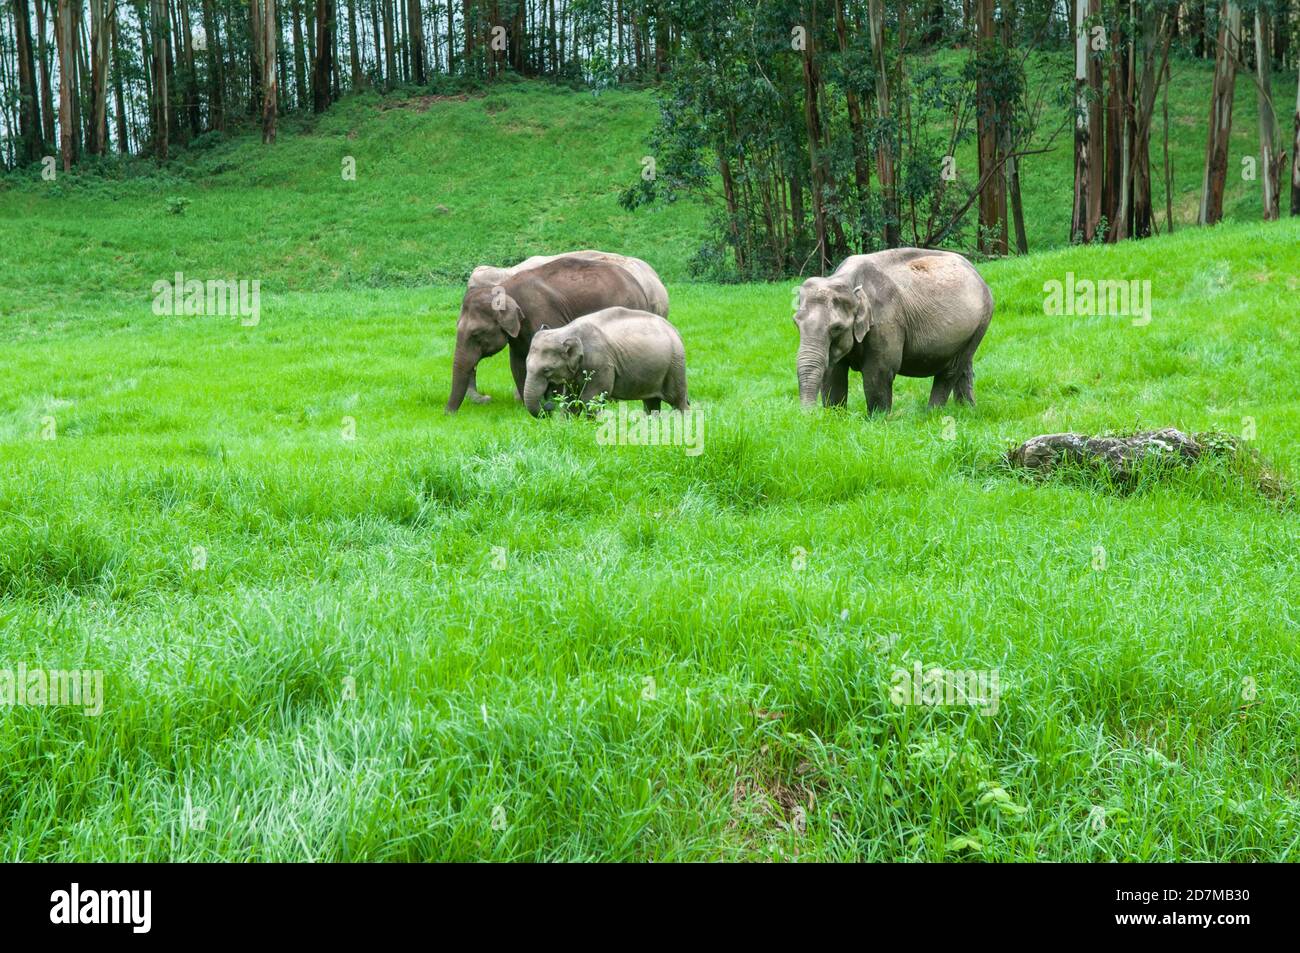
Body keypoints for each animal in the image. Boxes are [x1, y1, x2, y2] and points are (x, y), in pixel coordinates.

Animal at [446, 256, 667, 414]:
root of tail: (641, 288)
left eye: (476, 333)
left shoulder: (541, 314)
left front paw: (554, 402)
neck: (504, 288)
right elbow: (518, 363)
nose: (448, 414)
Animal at [522, 307, 688, 417]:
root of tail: (674, 330)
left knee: (677, 399)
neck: (566, 330)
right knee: (651, 401)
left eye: (546, 370)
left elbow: (591, 398)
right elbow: (570, 398)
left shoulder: (600, 363)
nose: (548, 407)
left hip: (675, 364)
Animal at [793, 248, 993, 414]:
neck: (844, 279)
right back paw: (966, 410)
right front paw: (834, 417)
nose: (809, 418)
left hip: (982, 322)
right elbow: (834, 373)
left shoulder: (886, 320)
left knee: (951, 369)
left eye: (836, 328)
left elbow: (879, 371)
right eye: (796, 323)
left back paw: (931, 414)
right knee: (964, 367)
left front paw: (877, 420)